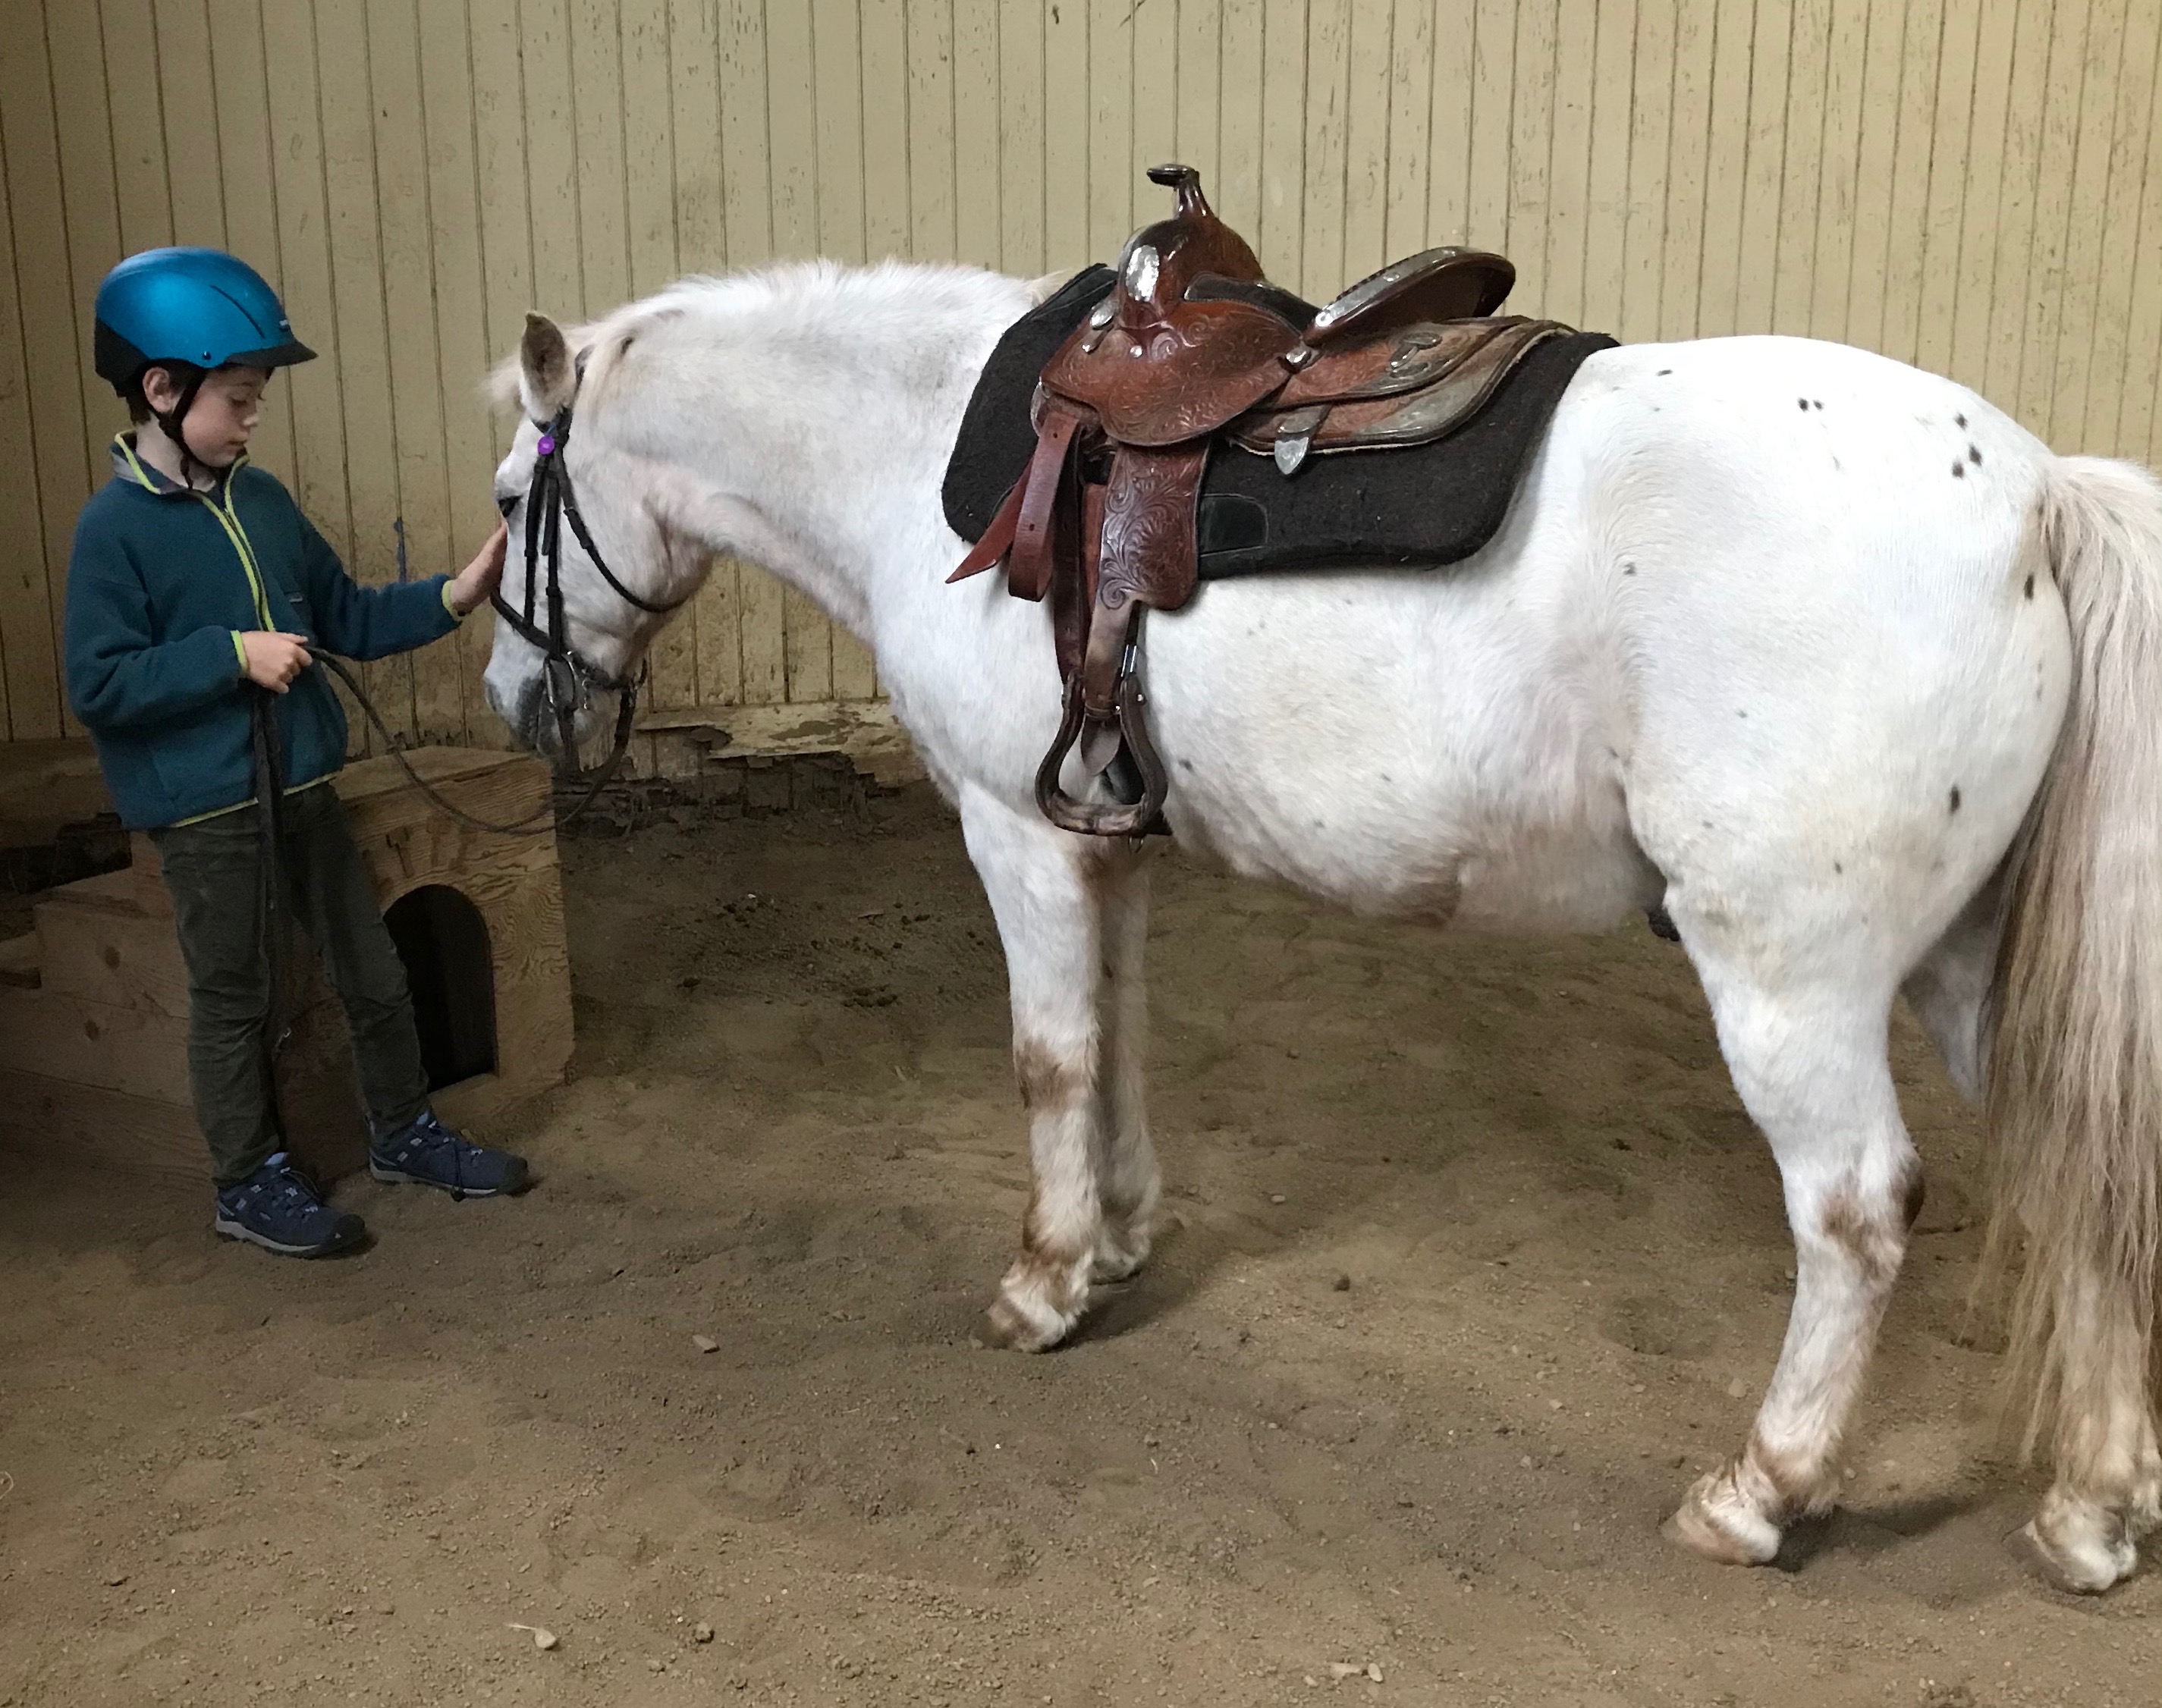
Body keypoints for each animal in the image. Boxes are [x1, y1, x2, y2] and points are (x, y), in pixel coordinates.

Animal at [480, 257, 2162, 1594]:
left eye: (510, 501)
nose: (514, 703)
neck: (921, 446)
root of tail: (2039, 492)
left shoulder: (1014, 835)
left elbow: (1047, 1060)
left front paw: (1043, 1284)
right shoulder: (1104, 845)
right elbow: (1119, 1045)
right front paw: (1121, 1240)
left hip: (1790, 980)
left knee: (1855, 1214)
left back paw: (1763, 1490)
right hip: (1973, 970)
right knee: (2081, 1169)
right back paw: (2092, 1507)